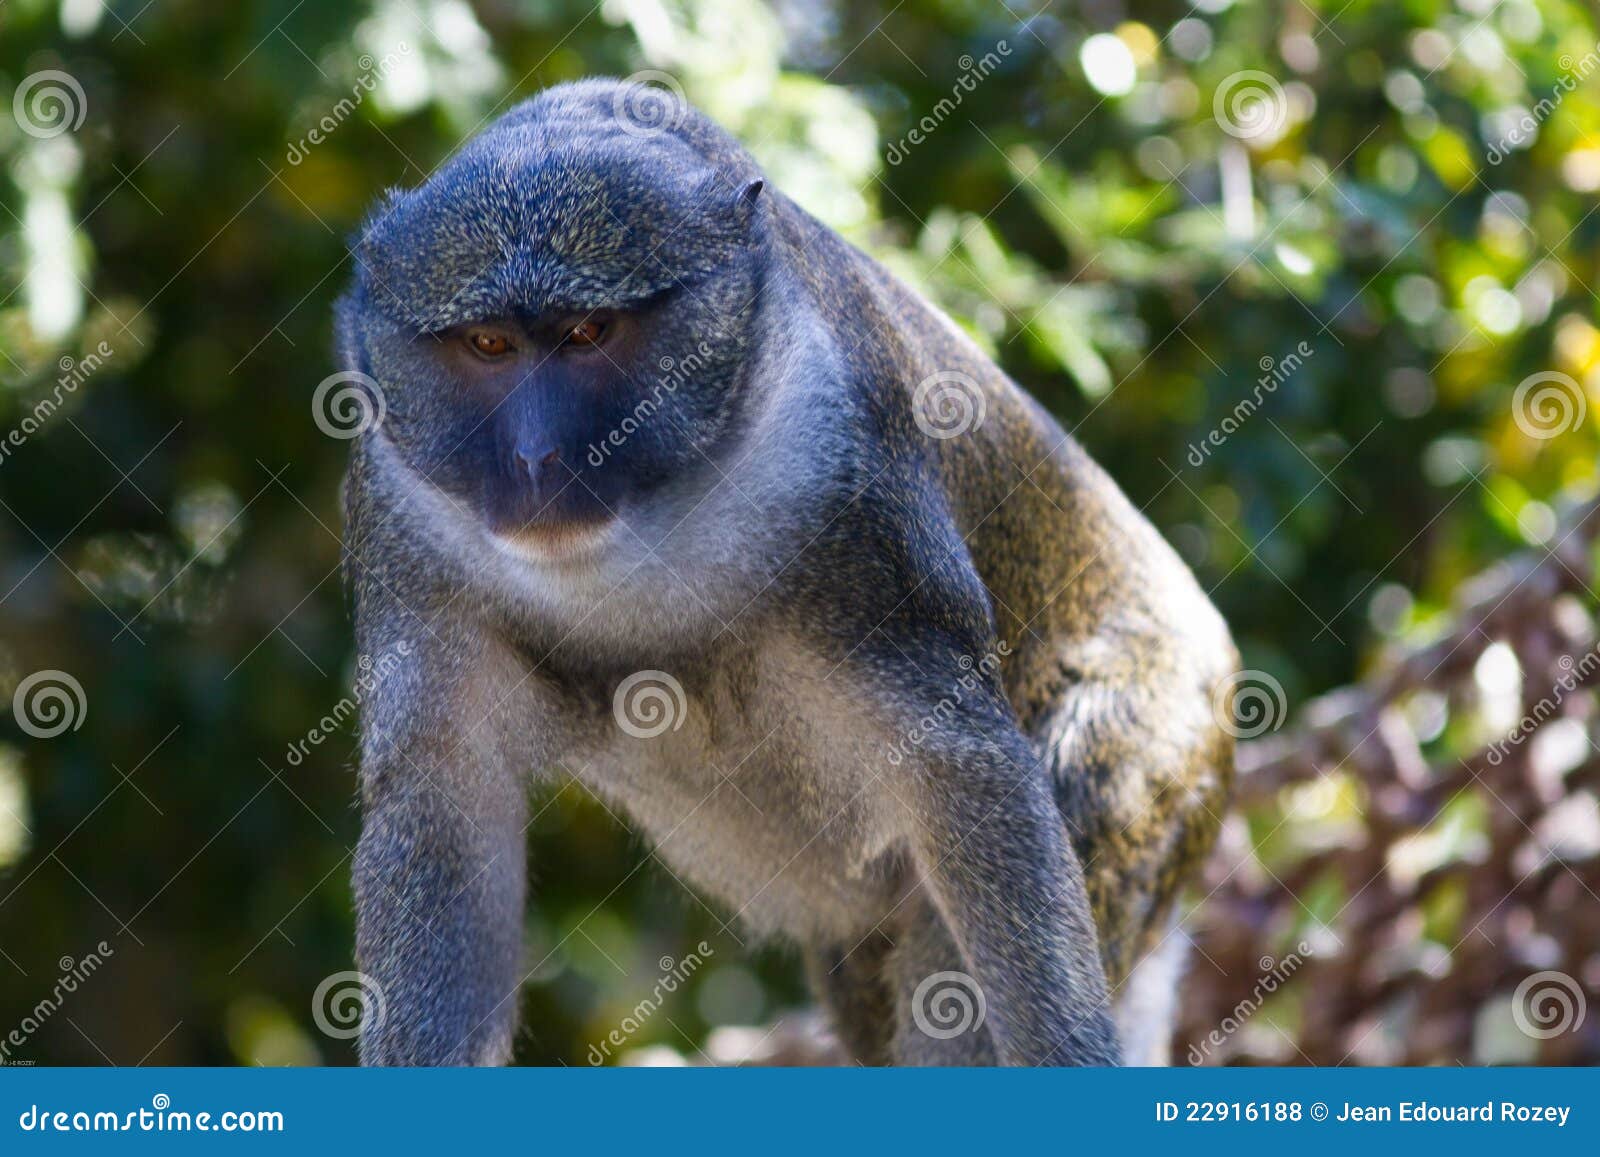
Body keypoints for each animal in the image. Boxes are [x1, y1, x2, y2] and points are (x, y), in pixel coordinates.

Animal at [334, 78, 1236, 1067]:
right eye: (489, 346)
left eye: (588, 332)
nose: (537, 460)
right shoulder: (404, 518)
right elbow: (446, 808)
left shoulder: (849, 475)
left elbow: (963, 768)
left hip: (1156, 741)